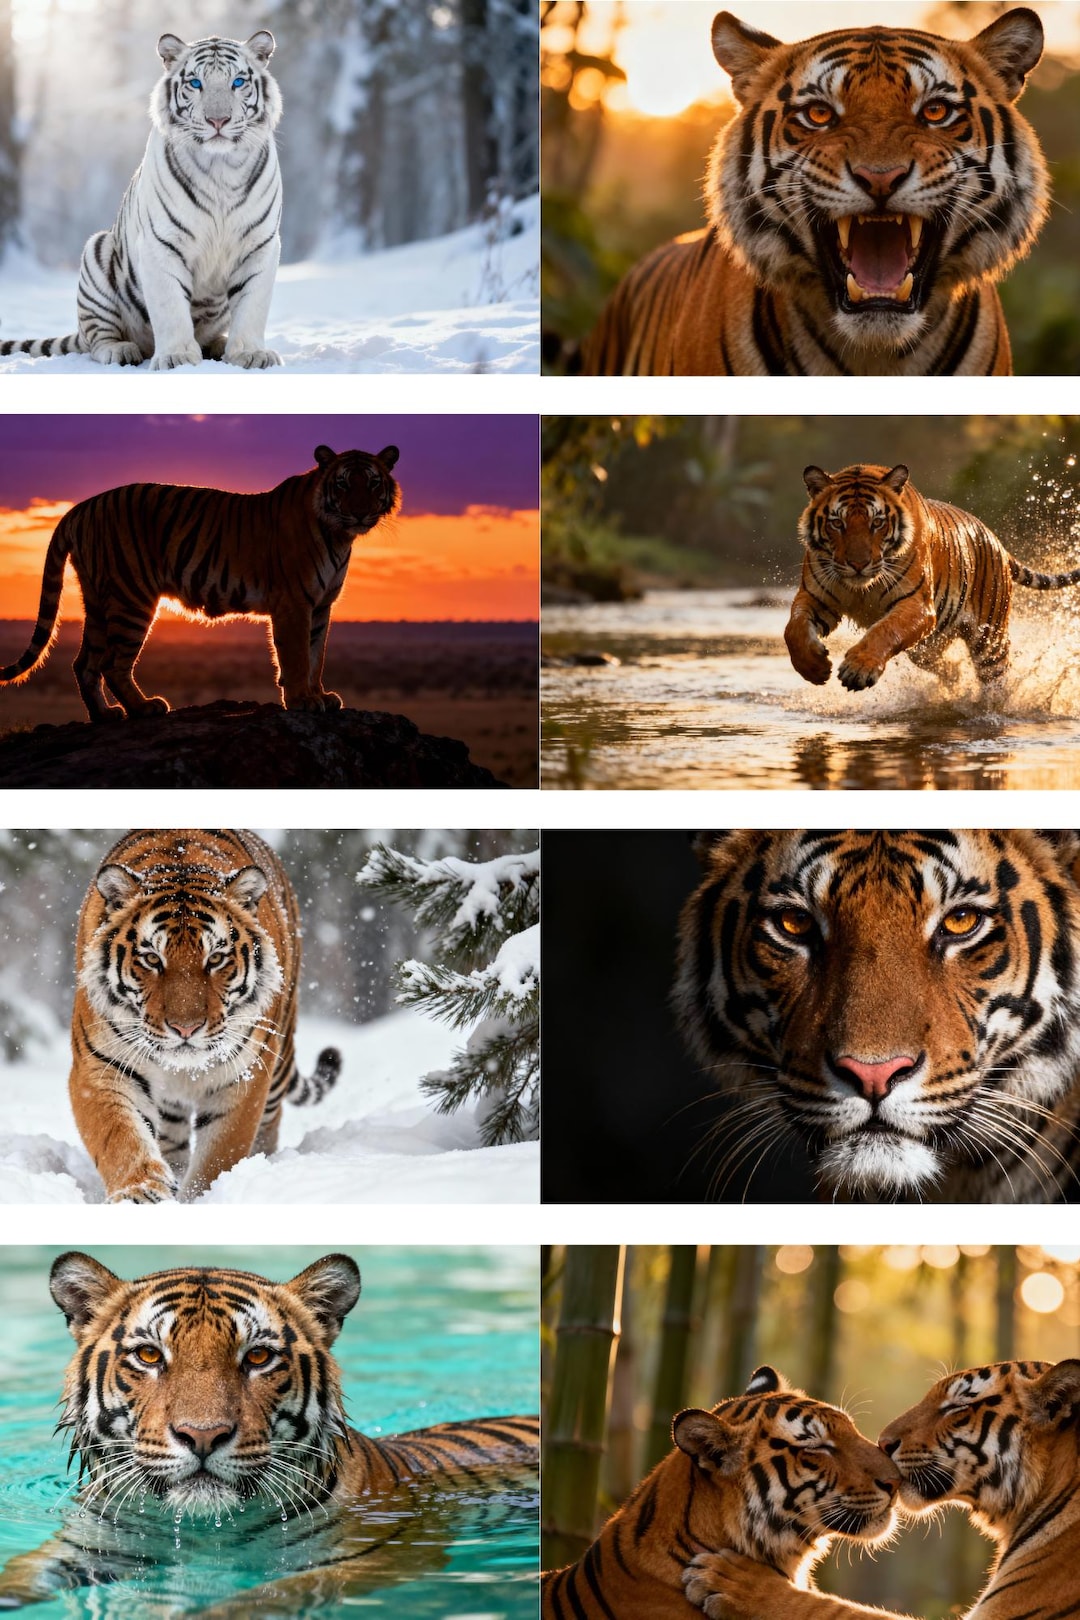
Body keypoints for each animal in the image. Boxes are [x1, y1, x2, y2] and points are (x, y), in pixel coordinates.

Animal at [0, 32, 283, 371]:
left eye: (238, 82)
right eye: (196, 83)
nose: (218, 120)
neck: (220, 168)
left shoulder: (260, 244)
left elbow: (252, 306)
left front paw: (249, 354)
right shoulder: (162, 244)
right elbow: (170, 307)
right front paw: (176, 357)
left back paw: (218, 345)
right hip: (96, 254)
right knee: (98, 339)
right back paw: (120, 350)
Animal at [0, 443, 400, 720]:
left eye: (373, 482)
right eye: (344, 484)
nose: (360, 512)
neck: (340, 536)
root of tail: (80, 507)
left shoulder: (320, 605)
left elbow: (317, 654)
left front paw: (320, 696)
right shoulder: (294, 603)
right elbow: (297, 655)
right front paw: (302, 701)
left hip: (98, 599)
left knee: (84, 663)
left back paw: (104, 716)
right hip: (132, 597)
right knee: (112, 663)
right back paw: (144, 708)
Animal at [0, 1251, 539, 1610]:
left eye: (258, 1356)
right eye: (149, 1355)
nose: (202, 1435)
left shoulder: (380, 1553)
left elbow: (266, 1595)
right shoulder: (92, 1543)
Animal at [71, 829, 341, 1204]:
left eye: (215, 959)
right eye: (152, 959)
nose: (186, 1028)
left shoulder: (243, 1074)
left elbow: (219, 1154)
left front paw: (200, 1198)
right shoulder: (101, 1065)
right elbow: (120, 1137)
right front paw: (141, 1192)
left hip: (277, 1059)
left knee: (270, 1123)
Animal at [788, 464, 1080, 692]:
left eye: (877, 522)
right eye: (837, 523)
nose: (859, 564)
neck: (861, 587)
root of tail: (997, 540)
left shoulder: (917, 605)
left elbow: (883, 630)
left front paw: (858, 669)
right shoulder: (815, 598)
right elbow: (794, 630)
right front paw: (813, 667)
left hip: (990, 639)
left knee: (996, 682)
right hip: (927, 647)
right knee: (950, 668)